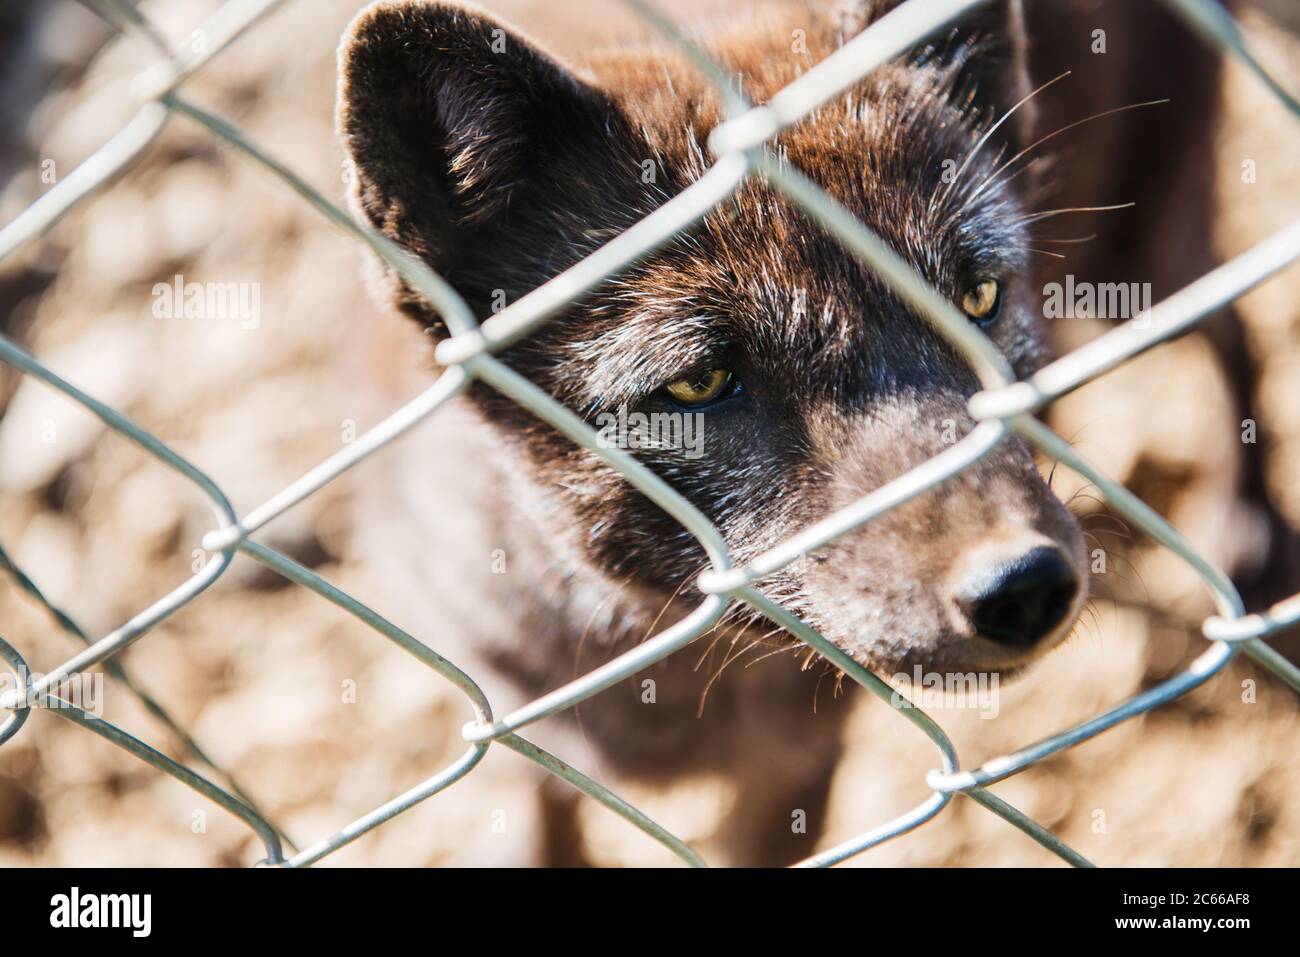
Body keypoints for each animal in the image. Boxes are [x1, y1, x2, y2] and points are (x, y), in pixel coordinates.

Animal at [334, 0, 1274, 865]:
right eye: (700, 382)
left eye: (976, 297)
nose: (1026, 586)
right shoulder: (518, 751)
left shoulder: (798, 767)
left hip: (1141, 267)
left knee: (1236, 327)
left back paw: (1253, 528)